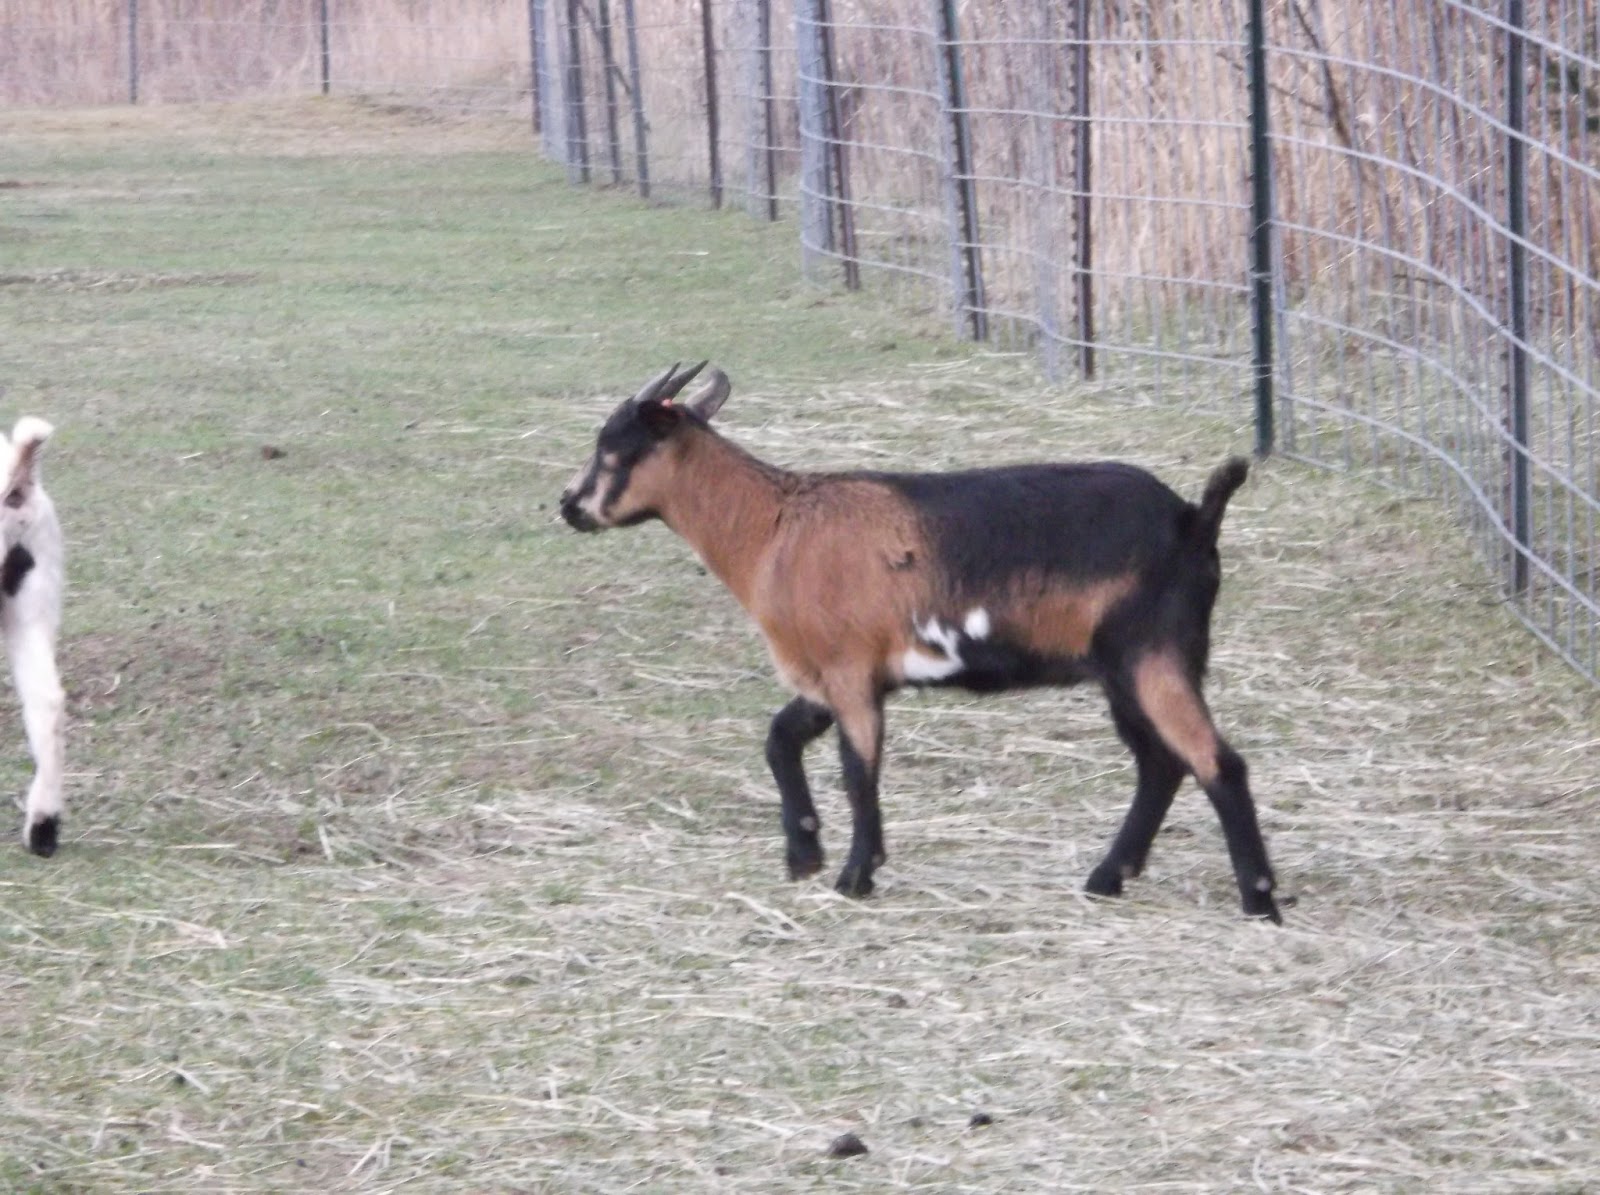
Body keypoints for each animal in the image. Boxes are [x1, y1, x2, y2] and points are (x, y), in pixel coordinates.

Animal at [559, 364, 1279, 922]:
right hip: (1126, 670)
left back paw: (1260, 901)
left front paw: (855, 876)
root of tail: (1194, 520)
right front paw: (805, 853)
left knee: (1216, 762)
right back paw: (1107, 878)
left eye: (614, 449)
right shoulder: (827, 674)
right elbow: (780, 738)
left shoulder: (849, 670)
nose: (568, 505)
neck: (774, 528)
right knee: (1161, 763)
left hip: (1150, 655)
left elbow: (858, 771)